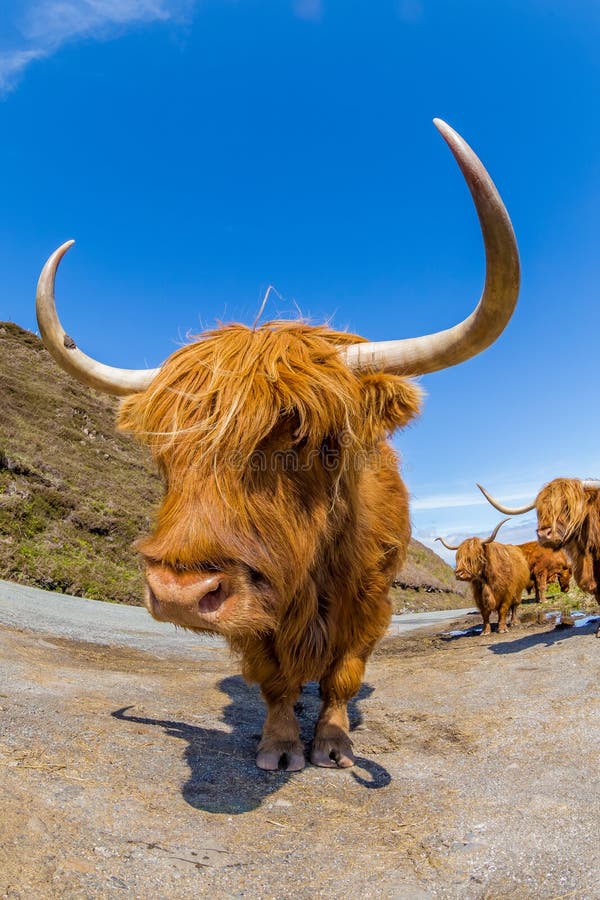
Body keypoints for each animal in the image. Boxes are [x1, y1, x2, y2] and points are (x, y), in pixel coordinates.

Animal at [35, 119, 520, 771]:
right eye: (165, 453)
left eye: (313, 440)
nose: (179, 593)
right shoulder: (256, 618)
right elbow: (274, 680)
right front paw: (281, 745)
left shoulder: (371, 602)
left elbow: (343, 673)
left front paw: (333, 745)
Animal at [478, 480, 600, 613]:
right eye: (540, 511)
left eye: (567, 506)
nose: (544, 534)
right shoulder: (540, 572)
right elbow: (541, 587)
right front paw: (543, 601)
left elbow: (537, 588)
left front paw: (538, 600)